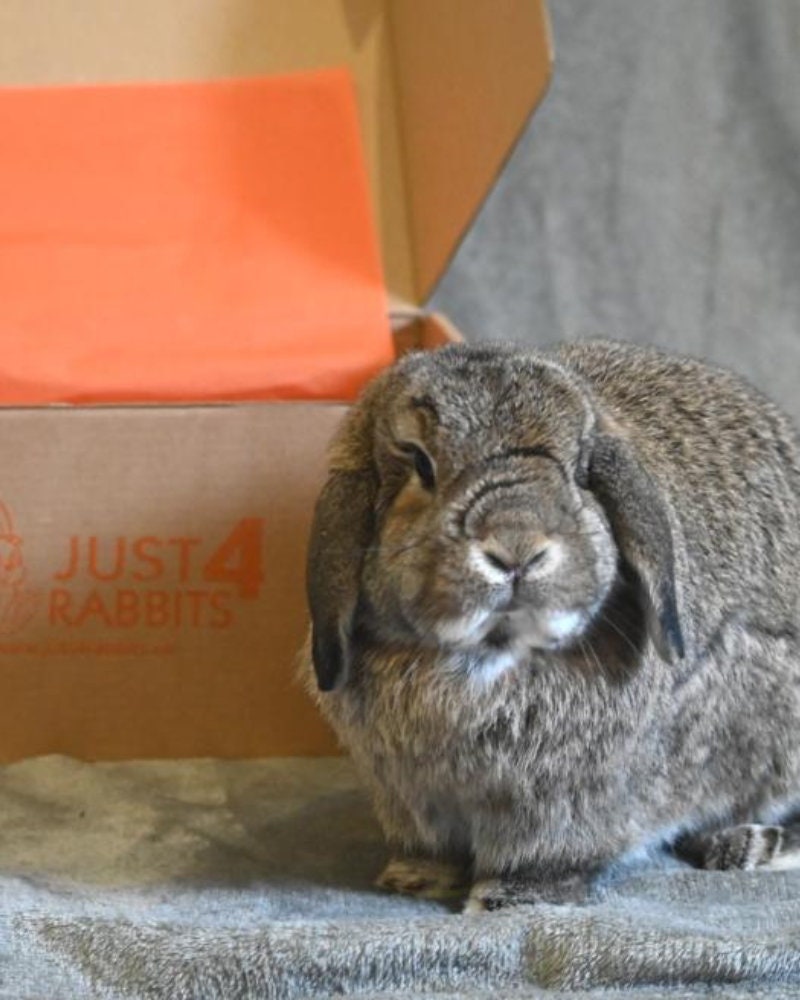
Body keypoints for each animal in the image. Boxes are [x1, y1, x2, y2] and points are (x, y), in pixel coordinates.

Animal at [301, 339, 800, 911]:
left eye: (581, 470)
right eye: (420, 463)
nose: (516, 545)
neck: (491, 654)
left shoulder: (563, 803)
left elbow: (545, 856)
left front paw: (508, 899)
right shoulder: (411, 796)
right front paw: (415, 877)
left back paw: (747, 845)